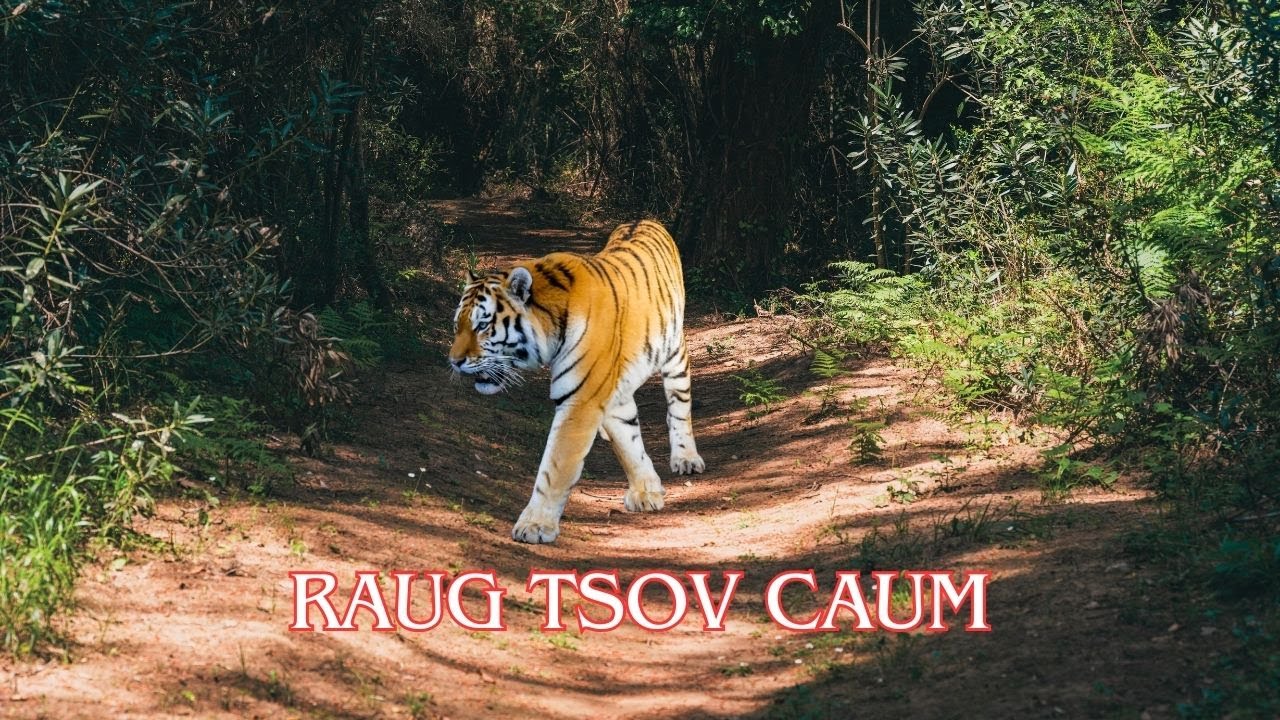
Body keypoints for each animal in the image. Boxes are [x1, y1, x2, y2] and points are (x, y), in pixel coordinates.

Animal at [448, 219, 706, 544]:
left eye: (482, 325)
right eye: (457, 326)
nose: (453, 361)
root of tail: (646, 219)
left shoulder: (580, 400)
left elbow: (555, 467)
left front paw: (534, 525)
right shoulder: (606, 395)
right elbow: (628, 443)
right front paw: (646, 491)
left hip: (674, 352)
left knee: (679, 408)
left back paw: (686, 458)